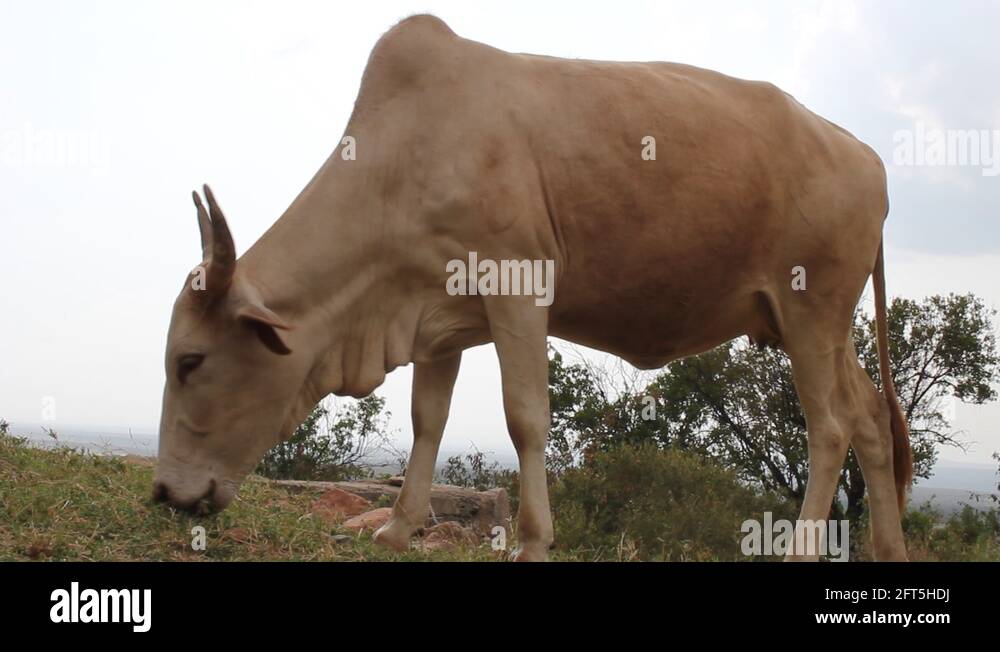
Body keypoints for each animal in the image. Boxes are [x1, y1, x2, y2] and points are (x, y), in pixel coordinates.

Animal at [154, 14, 911, 561]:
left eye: (190, 361)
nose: (164, 491)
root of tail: (864, 154)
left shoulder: (516, 285)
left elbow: (525, 418)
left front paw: (532, 542)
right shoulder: (435, 316)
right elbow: (428, 418)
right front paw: (398, 528)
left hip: (811, 311)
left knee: (830, 427)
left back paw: (804, 551)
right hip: (810, 323)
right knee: (870, 419)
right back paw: (890, 550)